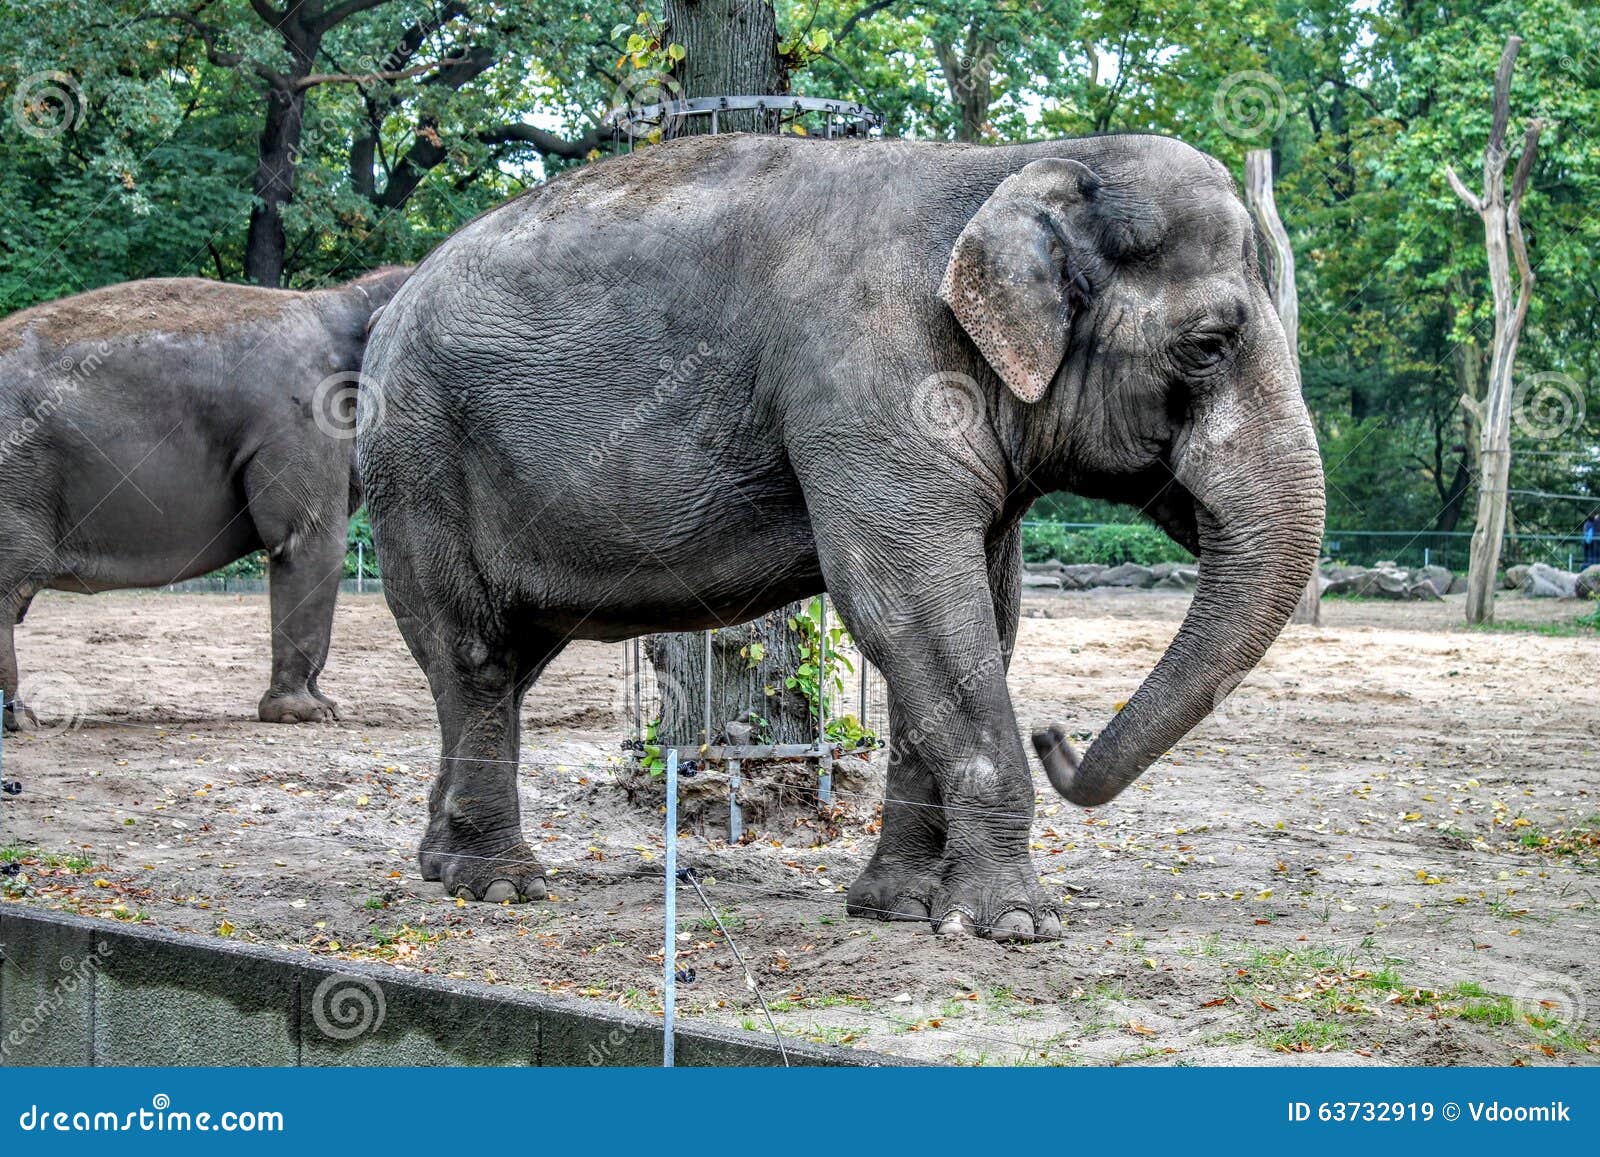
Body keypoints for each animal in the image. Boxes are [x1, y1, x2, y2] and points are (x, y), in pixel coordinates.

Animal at [0, 266, 410, 730]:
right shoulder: (302, 417)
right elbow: (308, 540)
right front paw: (306, 714)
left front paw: (325, 707)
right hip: (17, 476)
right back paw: (24, 722)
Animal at [357, 133, 1325, 940]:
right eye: (1209, 344)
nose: (1057, 736)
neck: (1010, 164)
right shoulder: (868, 392)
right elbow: (914, 605)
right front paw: (1014, 926)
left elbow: (983, 616)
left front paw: (898, 908)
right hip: (418, 462)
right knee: (477, 654)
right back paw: (498, 885)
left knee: (506, 662)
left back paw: (439, 864)